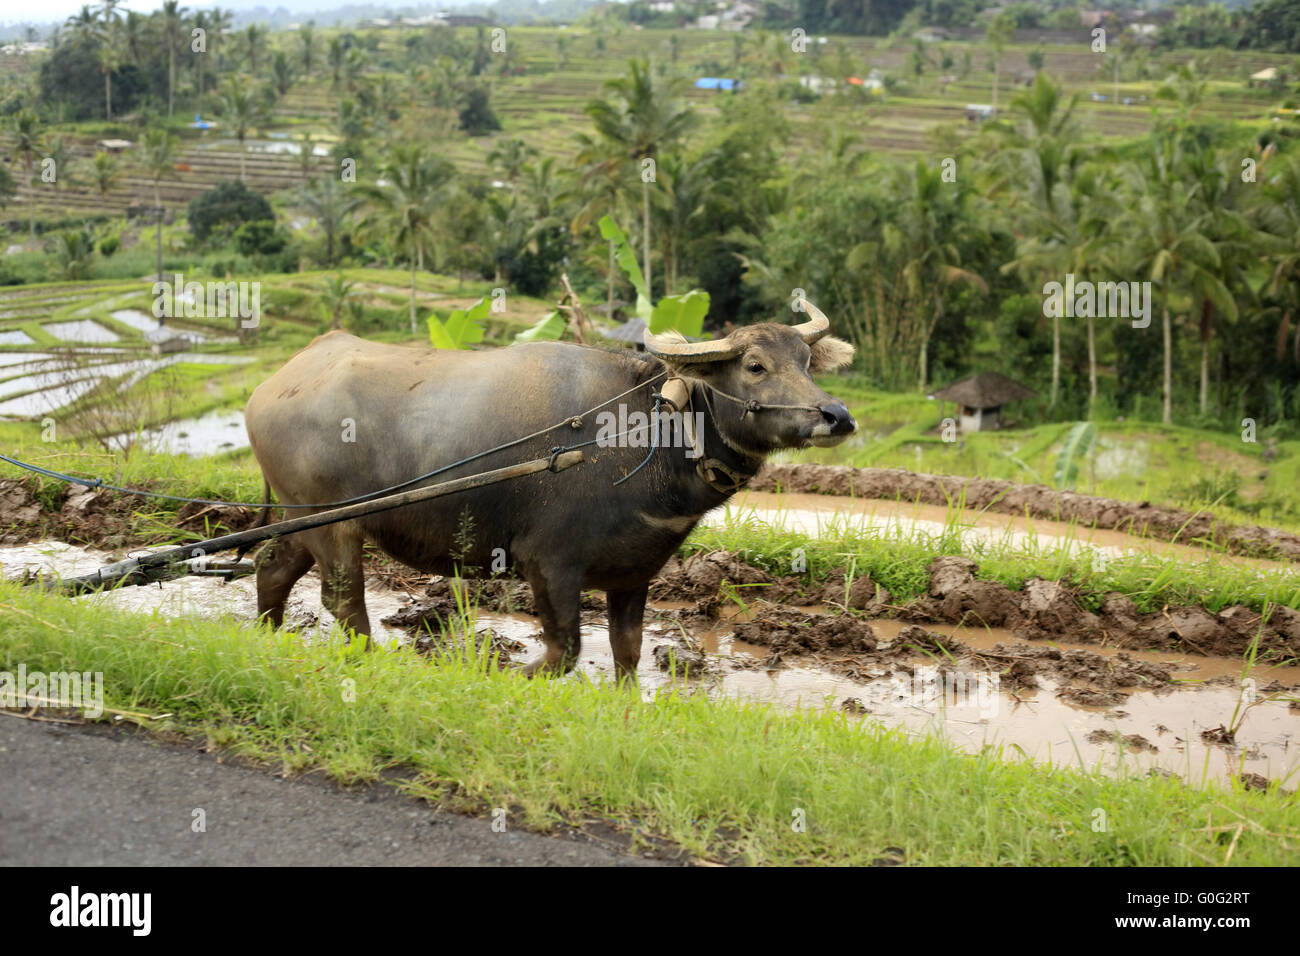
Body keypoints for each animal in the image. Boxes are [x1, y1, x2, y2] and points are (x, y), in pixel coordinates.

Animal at [244, 299, 856, 680]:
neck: (640, 434)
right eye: (754, 365)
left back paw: (268, 639)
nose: (837, 416)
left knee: (272, 567)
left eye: (805, 361)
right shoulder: (548, 562)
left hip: (305, 521)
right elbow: (564, 651)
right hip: (336, 526)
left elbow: (627, 652)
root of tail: (277, 382)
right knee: (345, 602)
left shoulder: (634, 573)